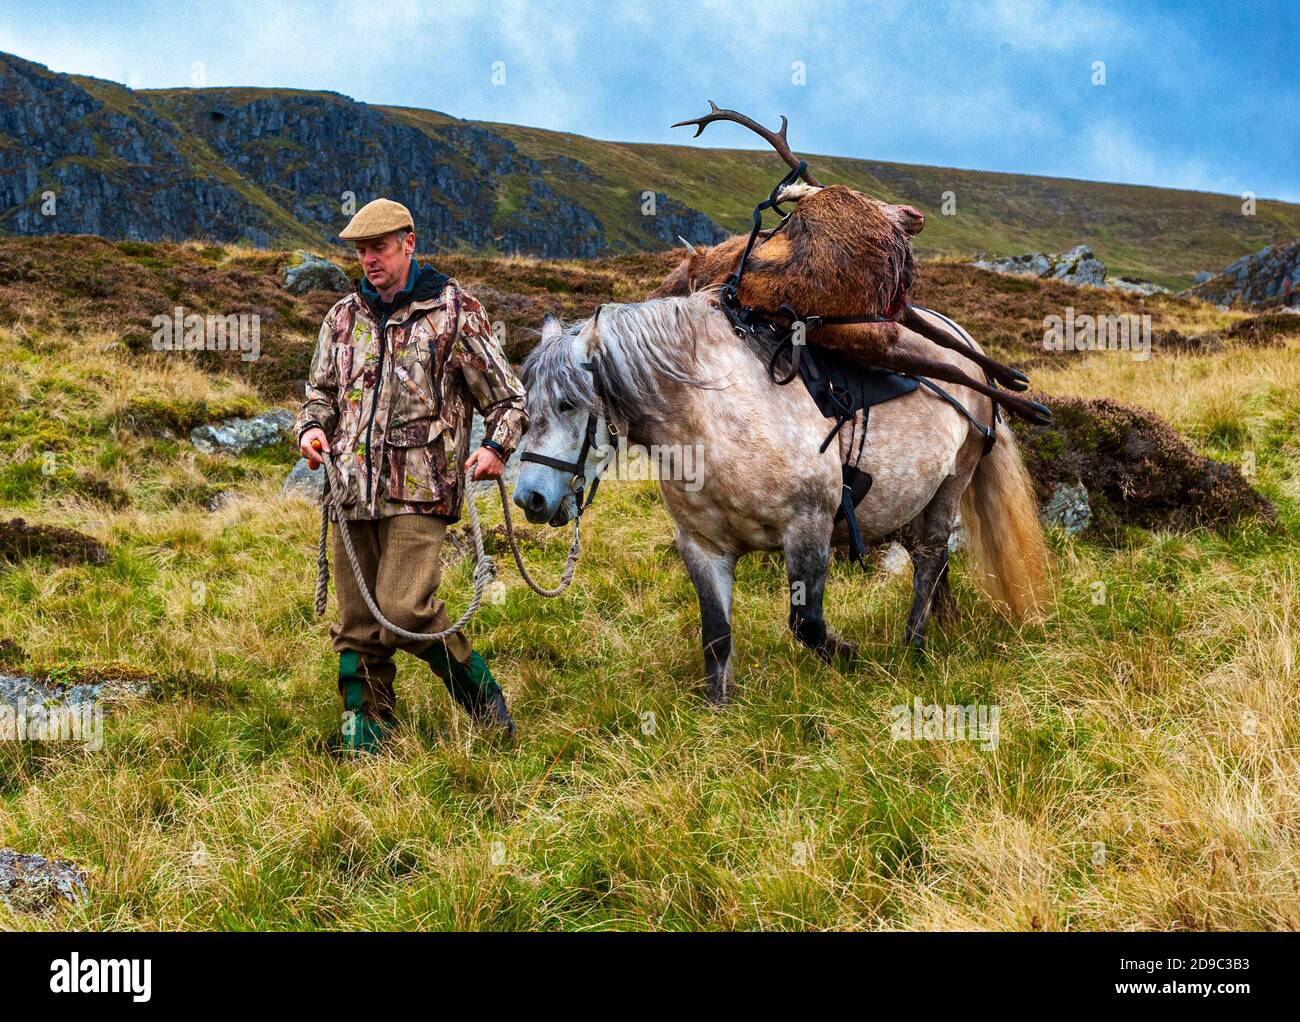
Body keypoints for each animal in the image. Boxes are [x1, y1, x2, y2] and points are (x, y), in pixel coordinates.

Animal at [512, 292, 1050, 703]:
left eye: (568, 404)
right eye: (526, 405)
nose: (529, 499)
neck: (711, 419)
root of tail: (964, 341)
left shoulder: (808, 528)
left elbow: (807, 625)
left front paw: (852, 656)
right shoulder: (702, 547)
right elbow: (716, 634)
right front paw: (717, 709)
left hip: (952, 482)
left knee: (931, 556)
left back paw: (913, 646)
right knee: (929, 561)